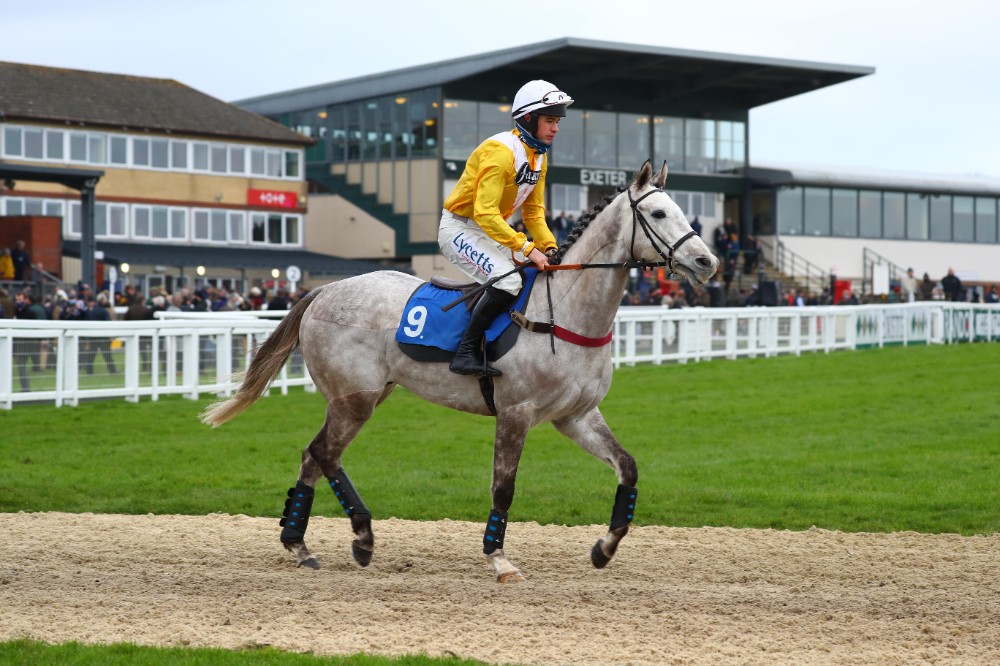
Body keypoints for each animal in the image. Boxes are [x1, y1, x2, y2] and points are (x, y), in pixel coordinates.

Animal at [201, 160, 719, 582]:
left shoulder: (576, 416)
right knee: (324, 454)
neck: (567, 315)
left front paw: (604, 548)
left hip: (361, 396)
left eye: (682, 210)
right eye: (658, 214)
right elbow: (503, 488)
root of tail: (323, 291)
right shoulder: (515, 413)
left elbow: (627, 467)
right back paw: (362, 537)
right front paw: (499, 559)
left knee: (313, 455)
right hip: (355, 399)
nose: (707, 262)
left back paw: (299, 544)